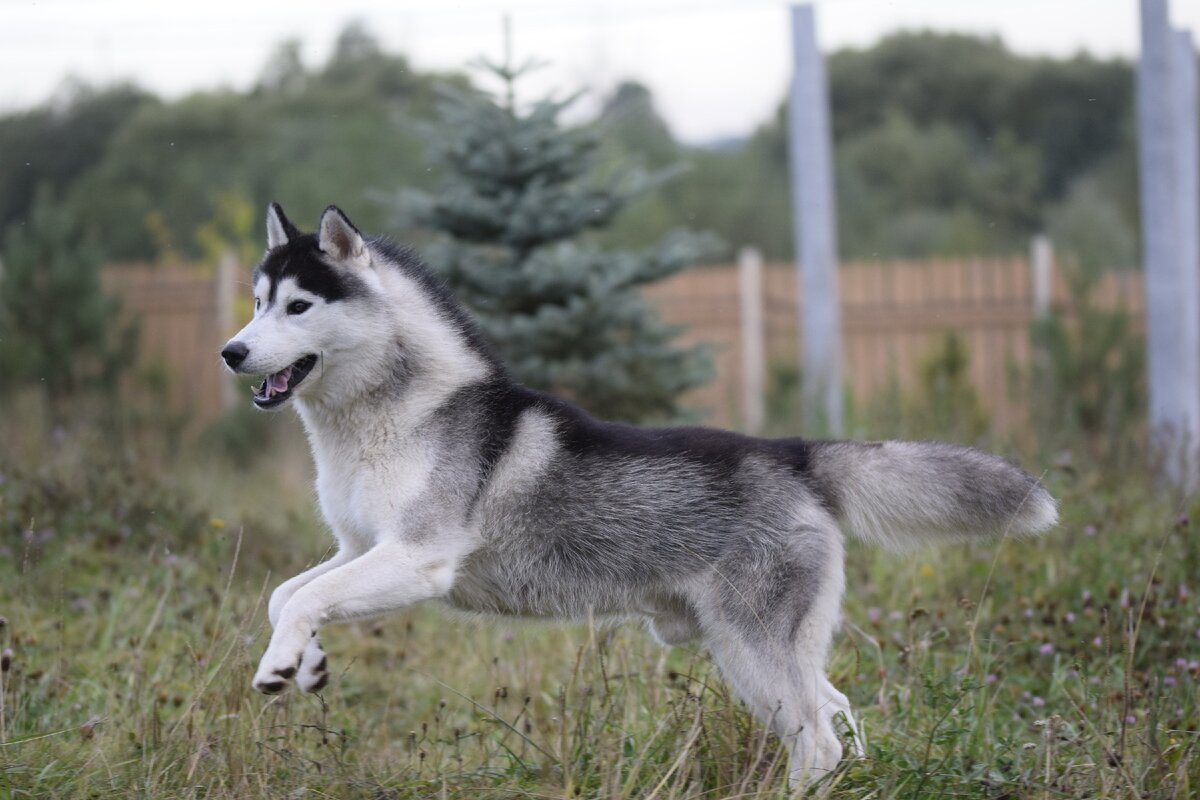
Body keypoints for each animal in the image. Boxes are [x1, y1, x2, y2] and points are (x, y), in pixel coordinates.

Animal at [220, 205, 1056, 786]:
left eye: (298, 307)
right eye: (257, 302)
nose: (231, 351)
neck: (392, 413)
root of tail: (792, 452)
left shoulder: (415, 559)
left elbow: (302, 597)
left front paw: (279, 666)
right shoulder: (359, 548)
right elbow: (288, 594)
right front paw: (305, 662)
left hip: (751, 651)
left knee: (816, 739)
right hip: (768, 648)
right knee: (838, 713)